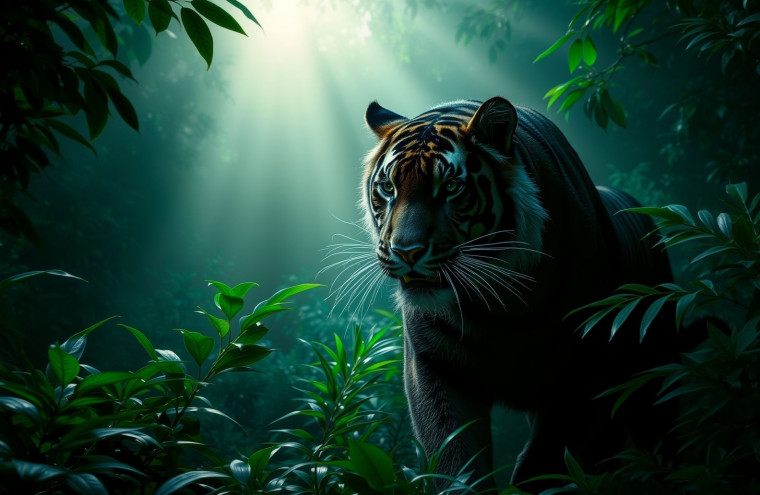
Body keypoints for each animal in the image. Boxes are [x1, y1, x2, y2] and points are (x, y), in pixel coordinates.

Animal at [359, 97, 678, 491]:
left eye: (450, 187)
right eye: (388, 187)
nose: (406, 251)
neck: (498, 307)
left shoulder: (584, 377)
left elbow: (544, 465)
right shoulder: (434, 367)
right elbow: (455, 457)